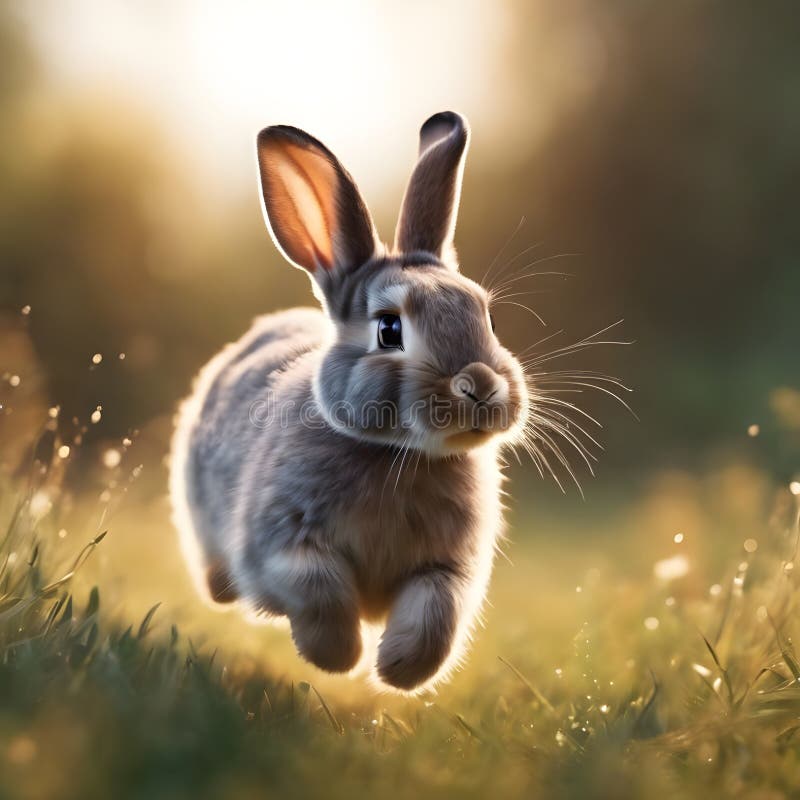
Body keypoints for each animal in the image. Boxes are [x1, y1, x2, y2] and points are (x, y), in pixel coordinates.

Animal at [170, 111, 529, 691]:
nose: (479, 384)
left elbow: (436, 616)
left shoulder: (449, 569)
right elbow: (318, 589)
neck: (397, 453)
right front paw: (341, 659)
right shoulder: (281, 547)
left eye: (488, 319)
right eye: (389, 329)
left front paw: (396, 671)